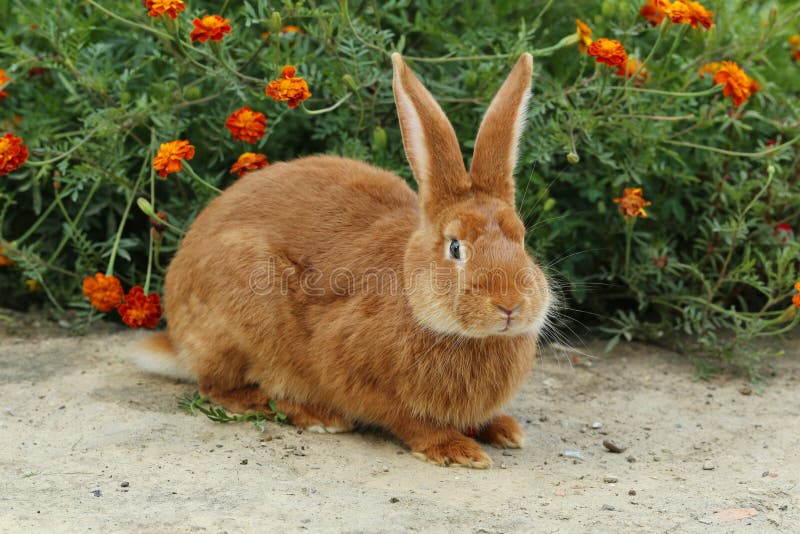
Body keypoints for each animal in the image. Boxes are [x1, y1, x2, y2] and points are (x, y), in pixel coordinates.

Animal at [132, 52, 552, 468]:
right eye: (455, 248)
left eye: (522, 239)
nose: (510, 305)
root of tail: (179, 338)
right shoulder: (356, 373)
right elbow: (406, 418)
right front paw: (455, 450)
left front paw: (504, 429)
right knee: (219, 387)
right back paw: (317, 415)